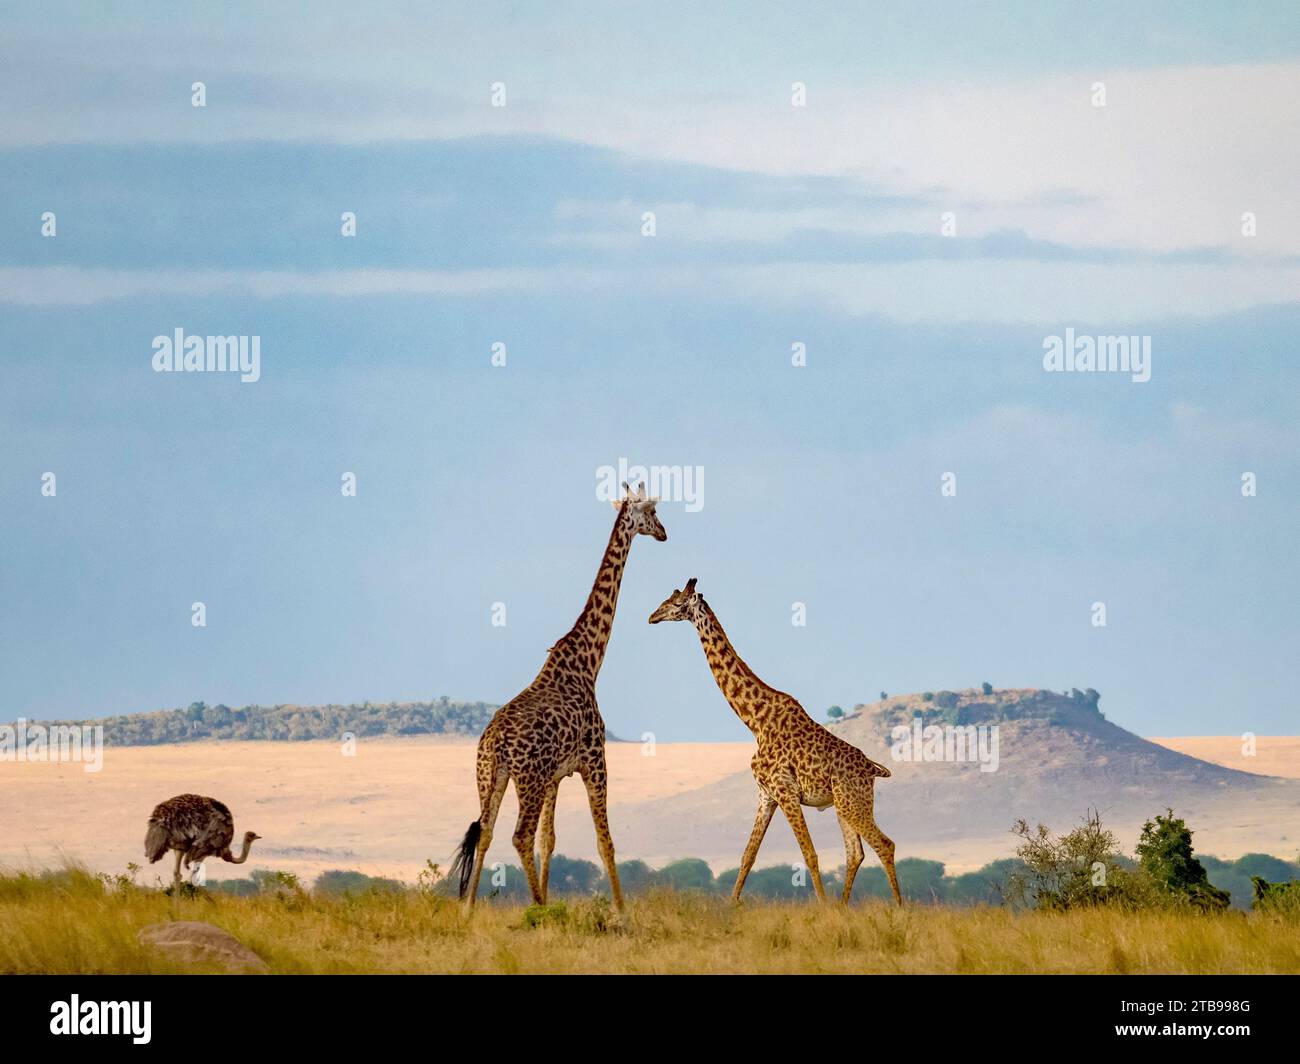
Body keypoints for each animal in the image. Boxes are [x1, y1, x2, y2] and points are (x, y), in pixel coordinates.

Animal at [449, 483, 667, 913]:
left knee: (486, 831)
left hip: (491, 776)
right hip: (527, 779)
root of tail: (495, 741)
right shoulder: (594, 759)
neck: (588, 662)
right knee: (518, 835)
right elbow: (604, 841)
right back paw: (536, 907)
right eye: (651, 511)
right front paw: (621, 912)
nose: (664, 532)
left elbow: (550, 841)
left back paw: (468, 910)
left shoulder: (555, 776)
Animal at [649, 578, 902, 906]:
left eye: (677, 603)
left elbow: (809, 854)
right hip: (844, 803)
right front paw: (731, 906)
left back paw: (898, 908)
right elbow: (748, 855)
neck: (755, 720)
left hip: (852, 801)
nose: (652, 616)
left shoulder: (785, 791)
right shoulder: (766, 794)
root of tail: (872, 769)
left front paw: (823, 908)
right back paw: (845, 906)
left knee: (884, 844)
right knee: (855, 853)